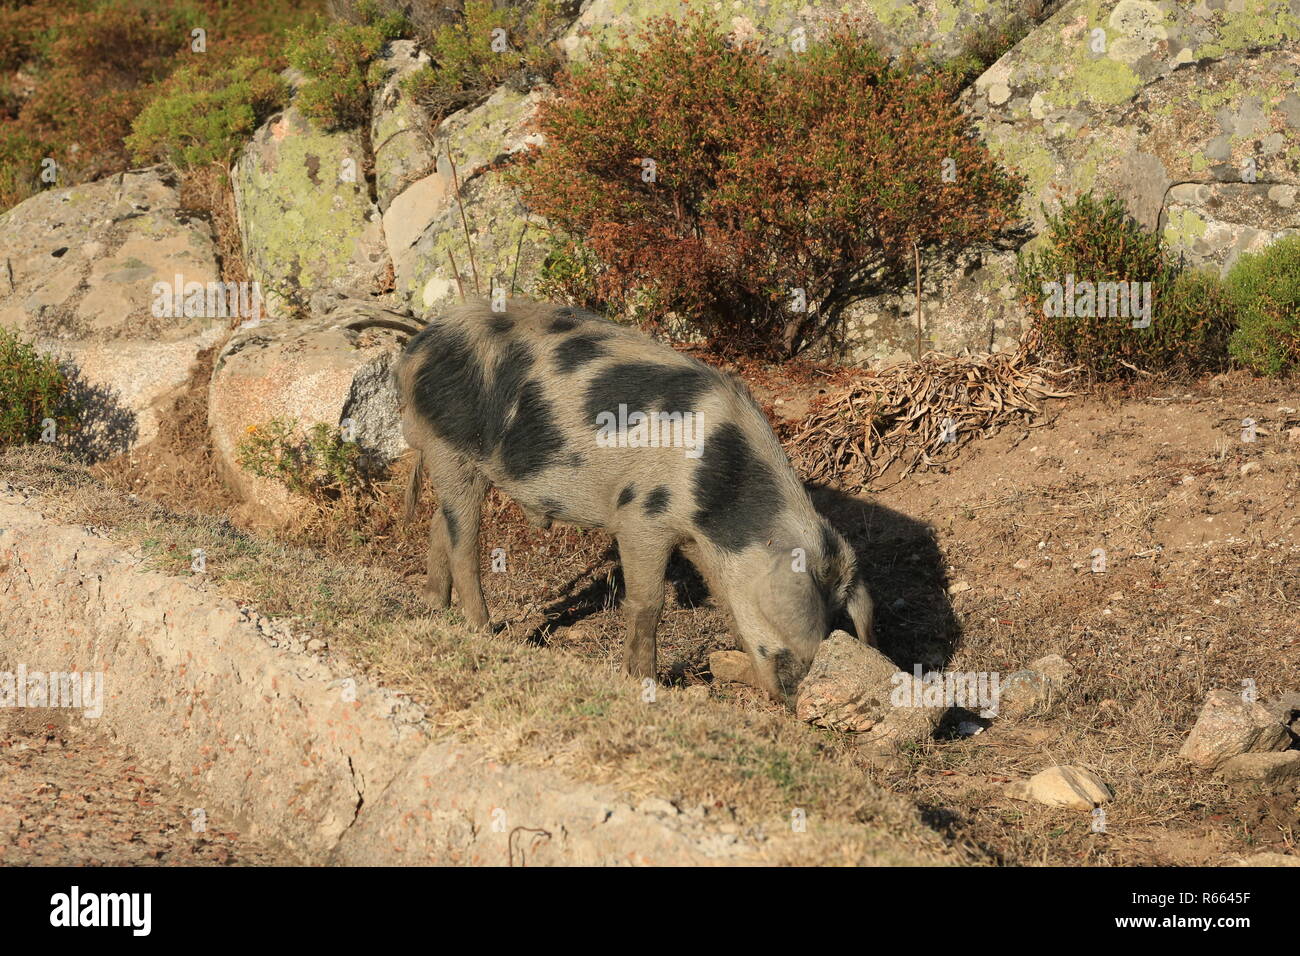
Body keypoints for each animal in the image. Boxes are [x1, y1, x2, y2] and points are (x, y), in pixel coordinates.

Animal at [394, 298, 874, 702]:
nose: (791, 700)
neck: (717, 501)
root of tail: (419, 345)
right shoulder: (642, 515)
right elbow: (648, 603)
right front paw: (642, 681)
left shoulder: (700, 541)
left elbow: (726, 602)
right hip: (450, 446)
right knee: (464, 544)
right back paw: (484, 630)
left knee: (441, 524)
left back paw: (434, 606)